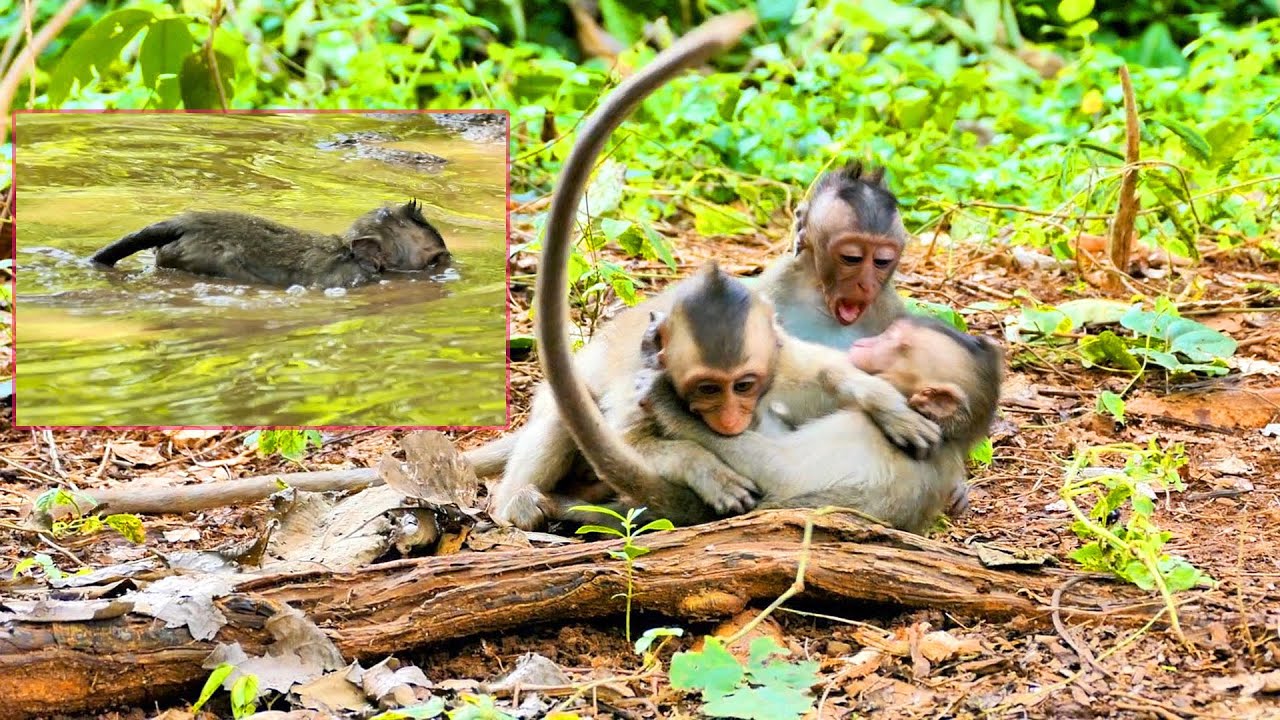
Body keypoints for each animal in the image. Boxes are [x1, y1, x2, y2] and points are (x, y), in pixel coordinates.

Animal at [488, 11, 943, 531]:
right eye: (851, 257)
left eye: (882, 260)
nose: (864, 281)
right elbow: (640, 437)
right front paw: (705, 469)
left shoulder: (840, 326)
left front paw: (887, 405)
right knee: (565, 415)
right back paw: (517, 501)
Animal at [631, 314, 1003, 533]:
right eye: (889, 334)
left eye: (894, 343)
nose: (865, 341)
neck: (950, 441)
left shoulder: (860, 434)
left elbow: (780, 473)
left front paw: (666, 399)